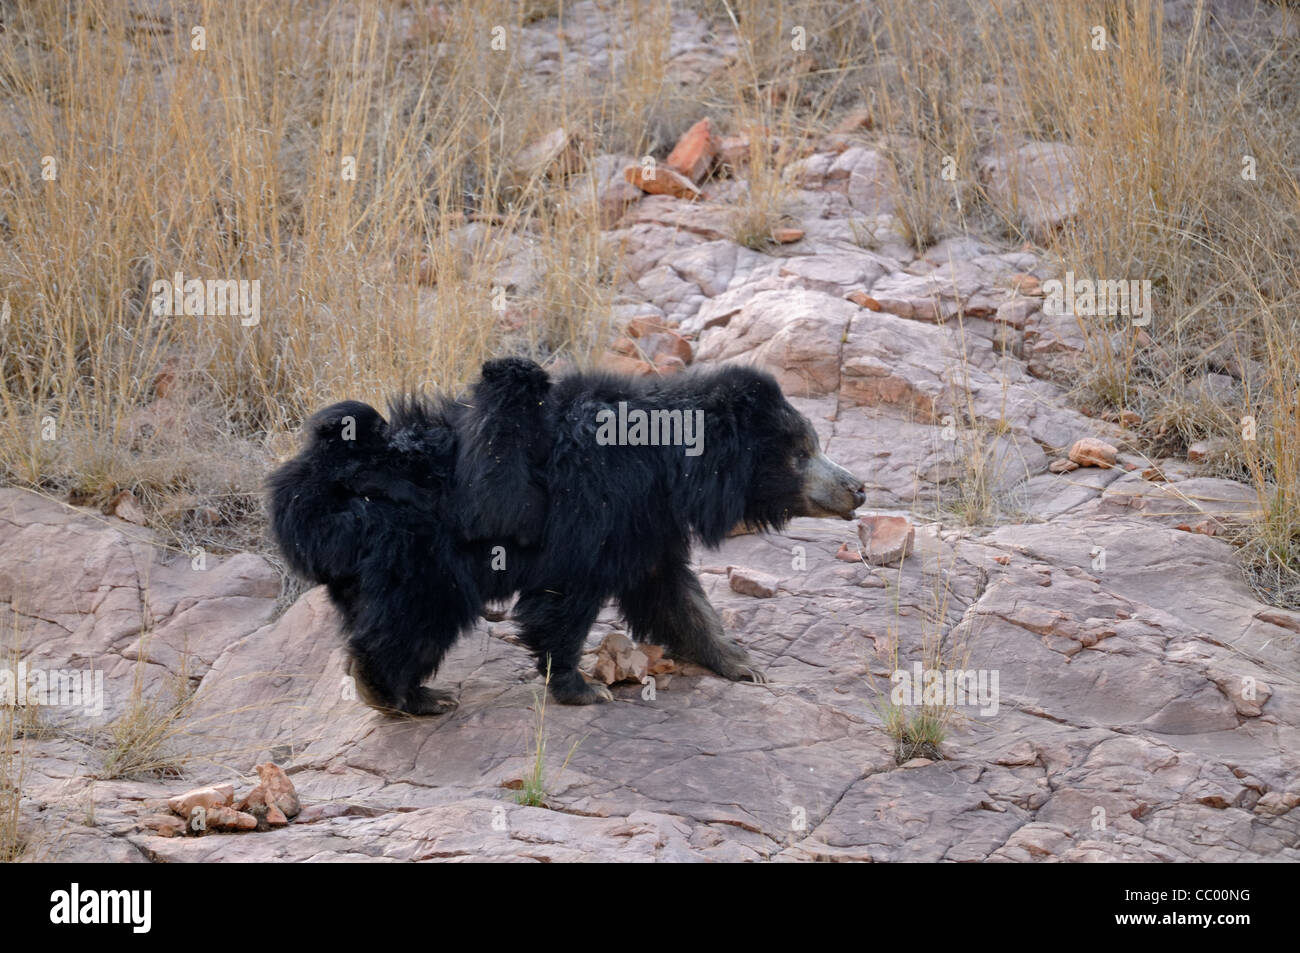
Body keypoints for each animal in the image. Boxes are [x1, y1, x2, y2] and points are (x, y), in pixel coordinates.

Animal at [268, 357, 865, 714]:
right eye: (801, 453)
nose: (858, 489)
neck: (671, 467)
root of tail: (309, 488)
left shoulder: (645, 523)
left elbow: (672, 595)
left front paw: (742, 665)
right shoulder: (596, 508)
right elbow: (565, 599)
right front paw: (585, 687)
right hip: (415, 548)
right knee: (414, 616)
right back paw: (399, 693)